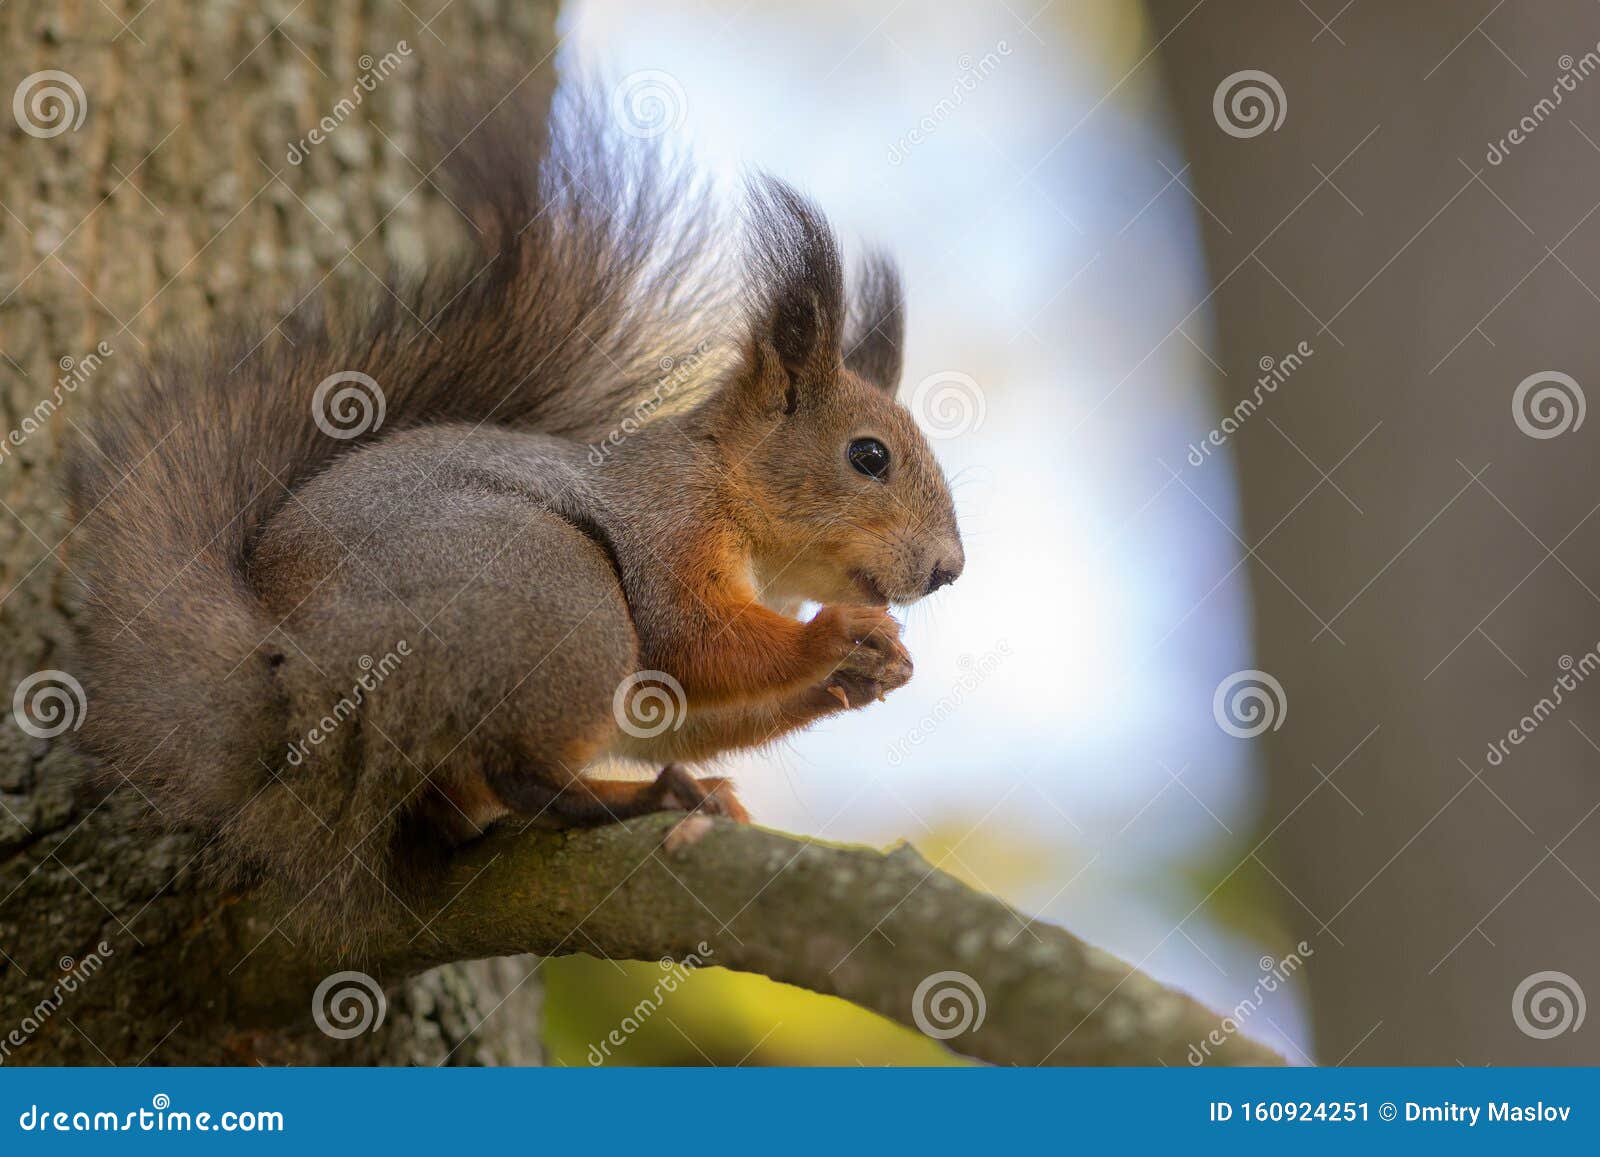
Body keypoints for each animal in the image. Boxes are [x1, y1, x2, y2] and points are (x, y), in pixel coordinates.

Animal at [63, 84, 964, 946]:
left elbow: (670, 714)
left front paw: (864, 677)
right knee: (524, 771)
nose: (948, 569)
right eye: (869, 456)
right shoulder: (667, 518)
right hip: (556, 596)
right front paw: (835, 638)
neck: (733, 495)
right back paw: (641, 800)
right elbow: (689, 637)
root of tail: (301, 671)